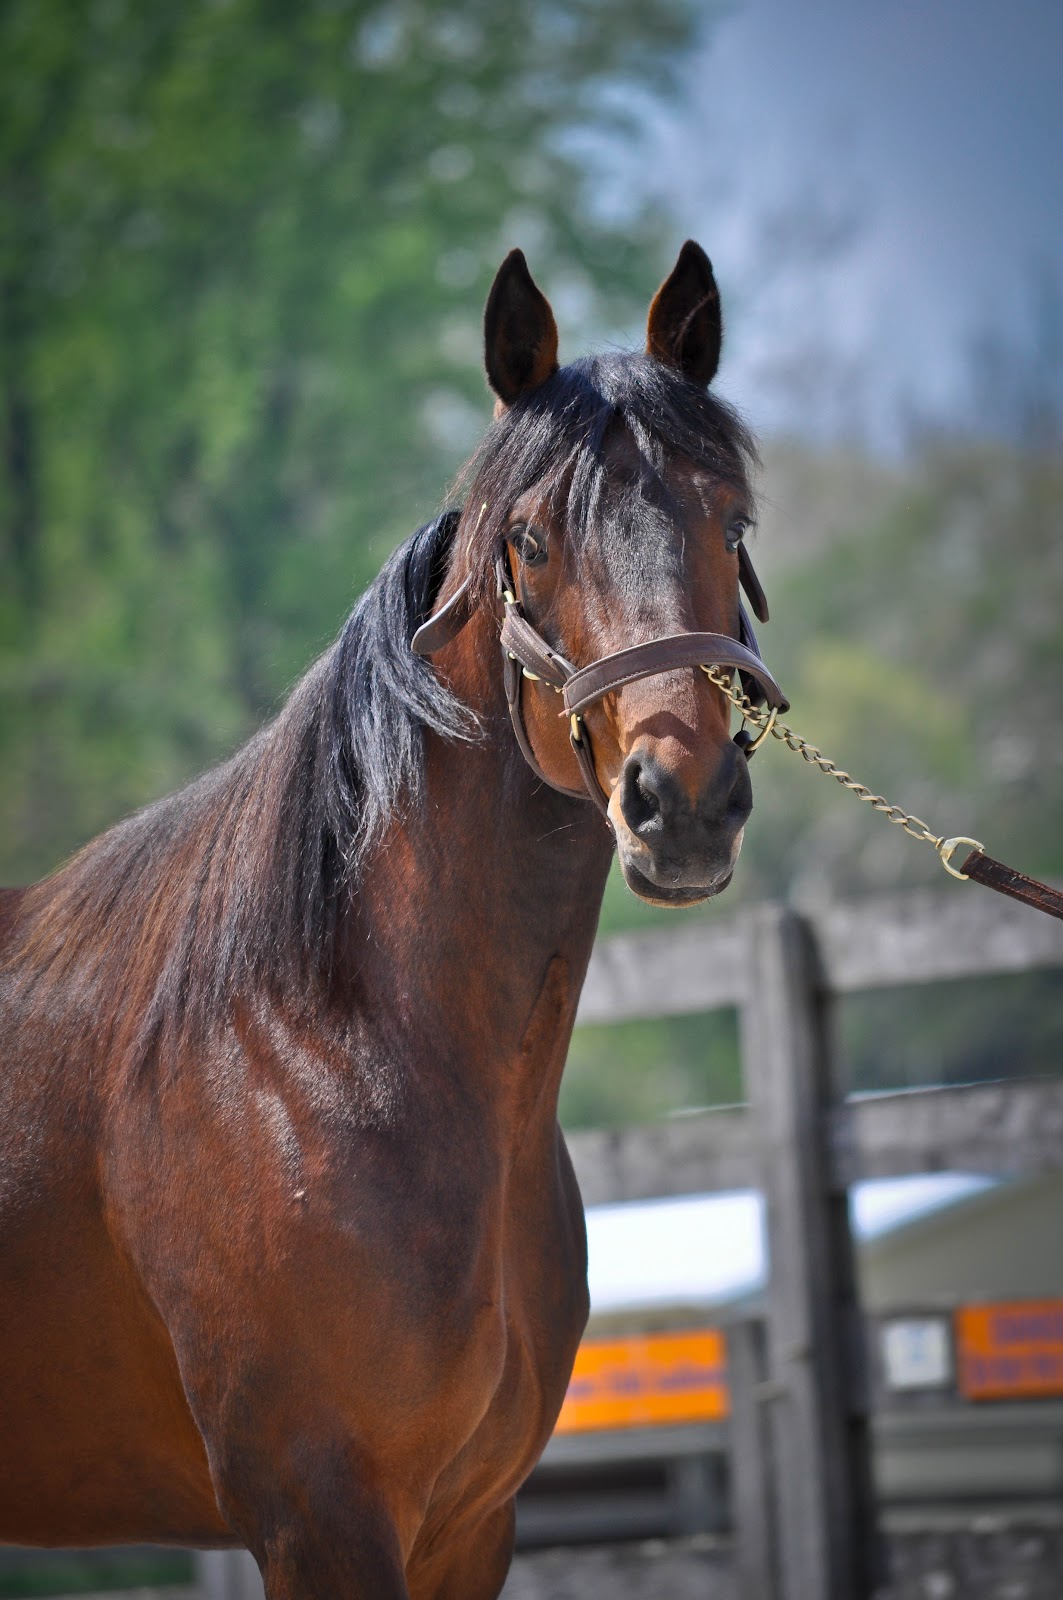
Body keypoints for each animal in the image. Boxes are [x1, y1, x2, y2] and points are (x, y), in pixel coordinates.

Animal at [0, 242, 784, 1599]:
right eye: (526, 540)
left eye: (728, 521)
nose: (680, 800)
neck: (319, 1046)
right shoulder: (318, 1511)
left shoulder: (469, 1524)